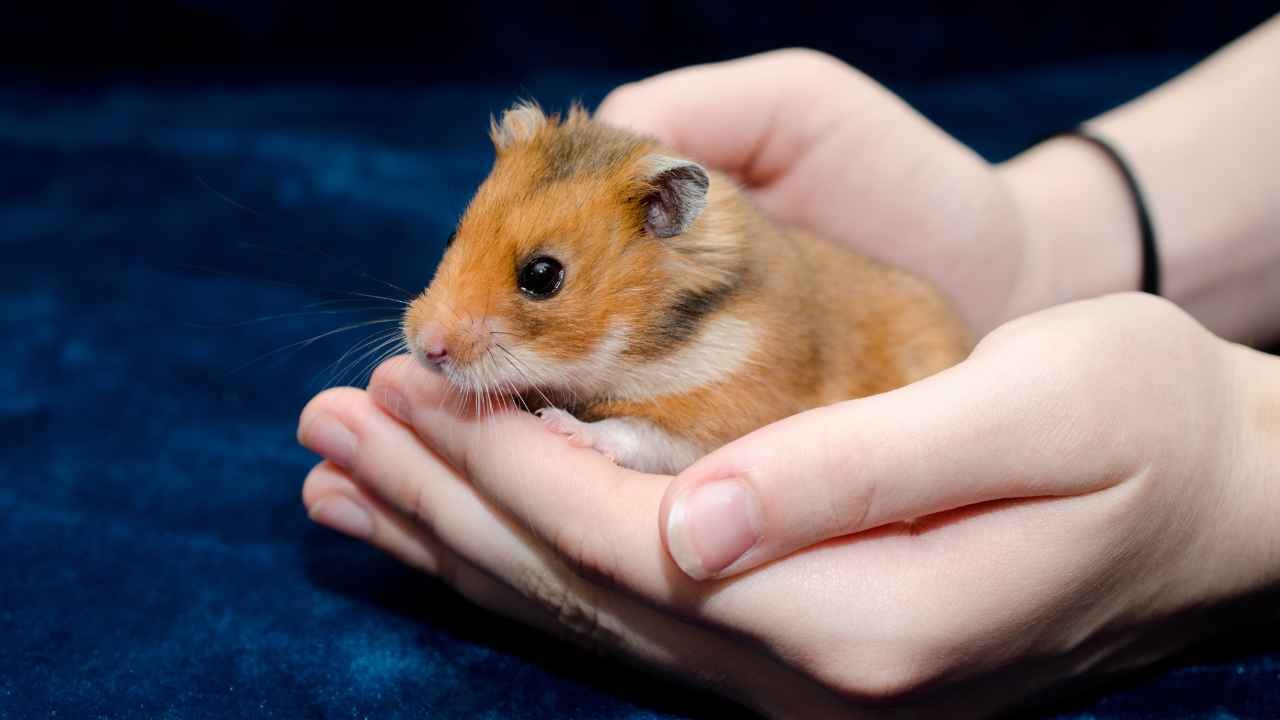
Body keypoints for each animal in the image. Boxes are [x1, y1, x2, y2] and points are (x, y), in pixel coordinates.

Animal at [402, 102, 972, 474]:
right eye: (452, 236)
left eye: (541, 276)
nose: (426, 350)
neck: (648, 343)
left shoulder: (722, 417)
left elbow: (635, 433)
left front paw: (560, 425)